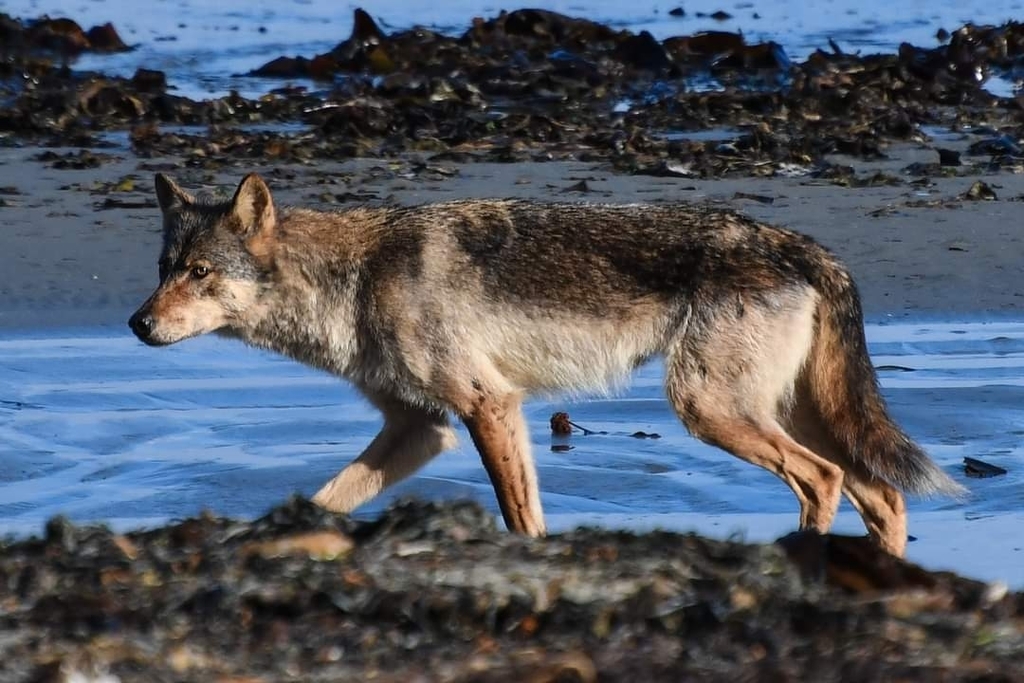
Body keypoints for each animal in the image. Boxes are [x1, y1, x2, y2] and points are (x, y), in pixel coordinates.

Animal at [129, 173, 965, 557]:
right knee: (881, 492)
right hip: (784, 412)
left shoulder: (486, 405)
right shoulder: (423, 429)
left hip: (711, 410)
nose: (136, 324)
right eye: (165, 268)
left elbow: (521, 519)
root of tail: (804, 243)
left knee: (822, 480)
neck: (355, 279)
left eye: (201, 274)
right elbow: (329, 497)